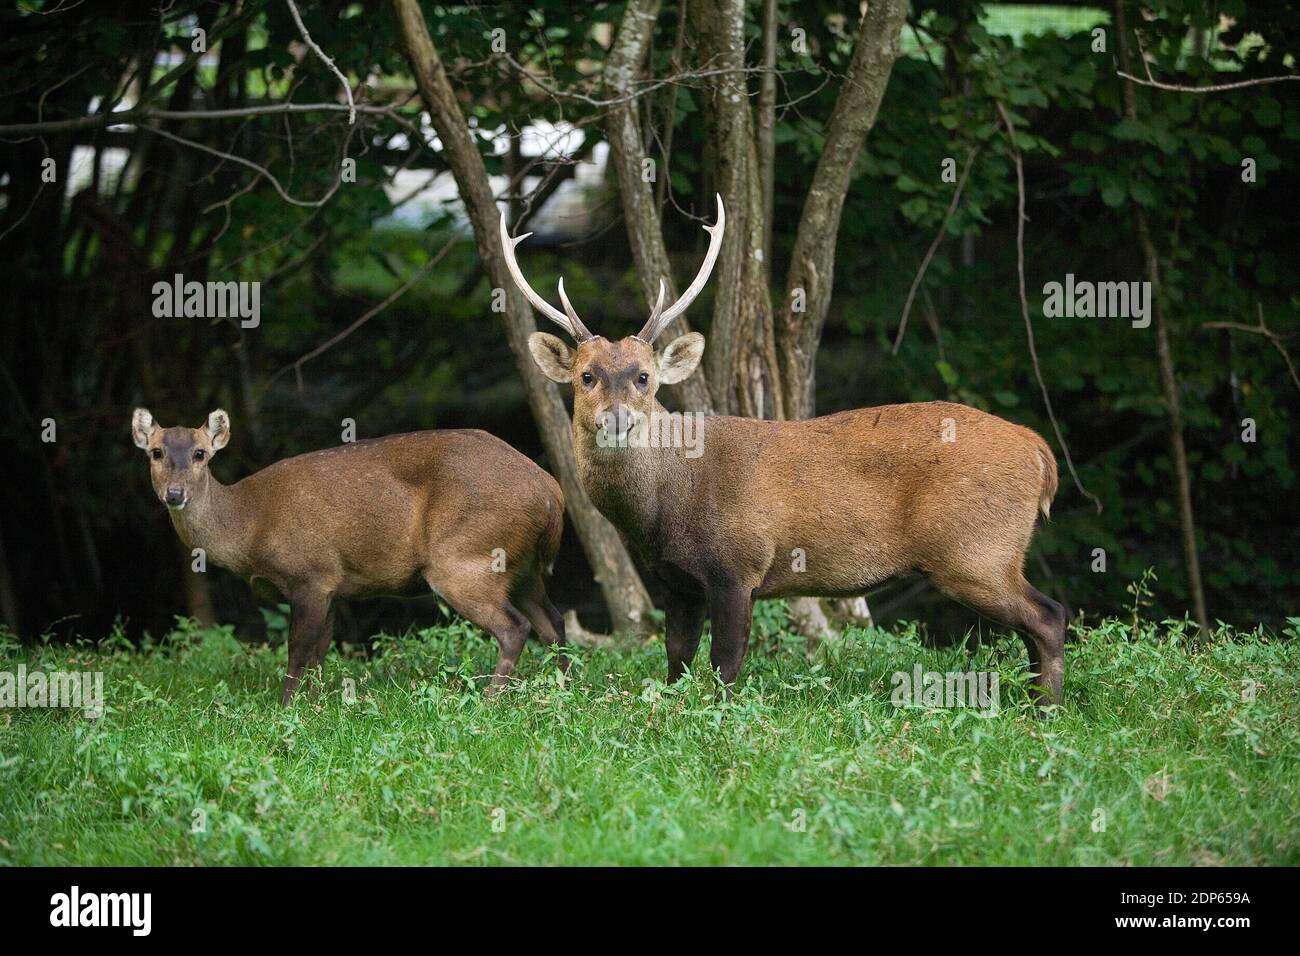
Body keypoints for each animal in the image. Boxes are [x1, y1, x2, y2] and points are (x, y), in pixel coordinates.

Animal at [131, 408, 567, 703]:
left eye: (200, 453)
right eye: (155, 452)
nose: (174, 494)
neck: (249, 527)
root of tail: (551, 492)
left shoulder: (310, 574)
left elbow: (298, 651)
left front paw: (283, 708)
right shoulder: (334, 587)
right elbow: (319, 653)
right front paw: (315, 705)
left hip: (464, 556)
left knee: (515, 627)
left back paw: (490, 701)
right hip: (522, 568)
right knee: (554, 621)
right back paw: (565, 690)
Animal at [501, 194, 1067, 703]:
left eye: (644, 376)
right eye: (586, 375)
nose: (617, 419)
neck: (663, 507)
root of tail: (1040, 452)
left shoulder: (738, 563)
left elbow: (726, 663)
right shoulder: (677, 582)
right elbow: (676, 659)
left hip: (976, 549)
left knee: (1050, 616)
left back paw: (1047, 710)